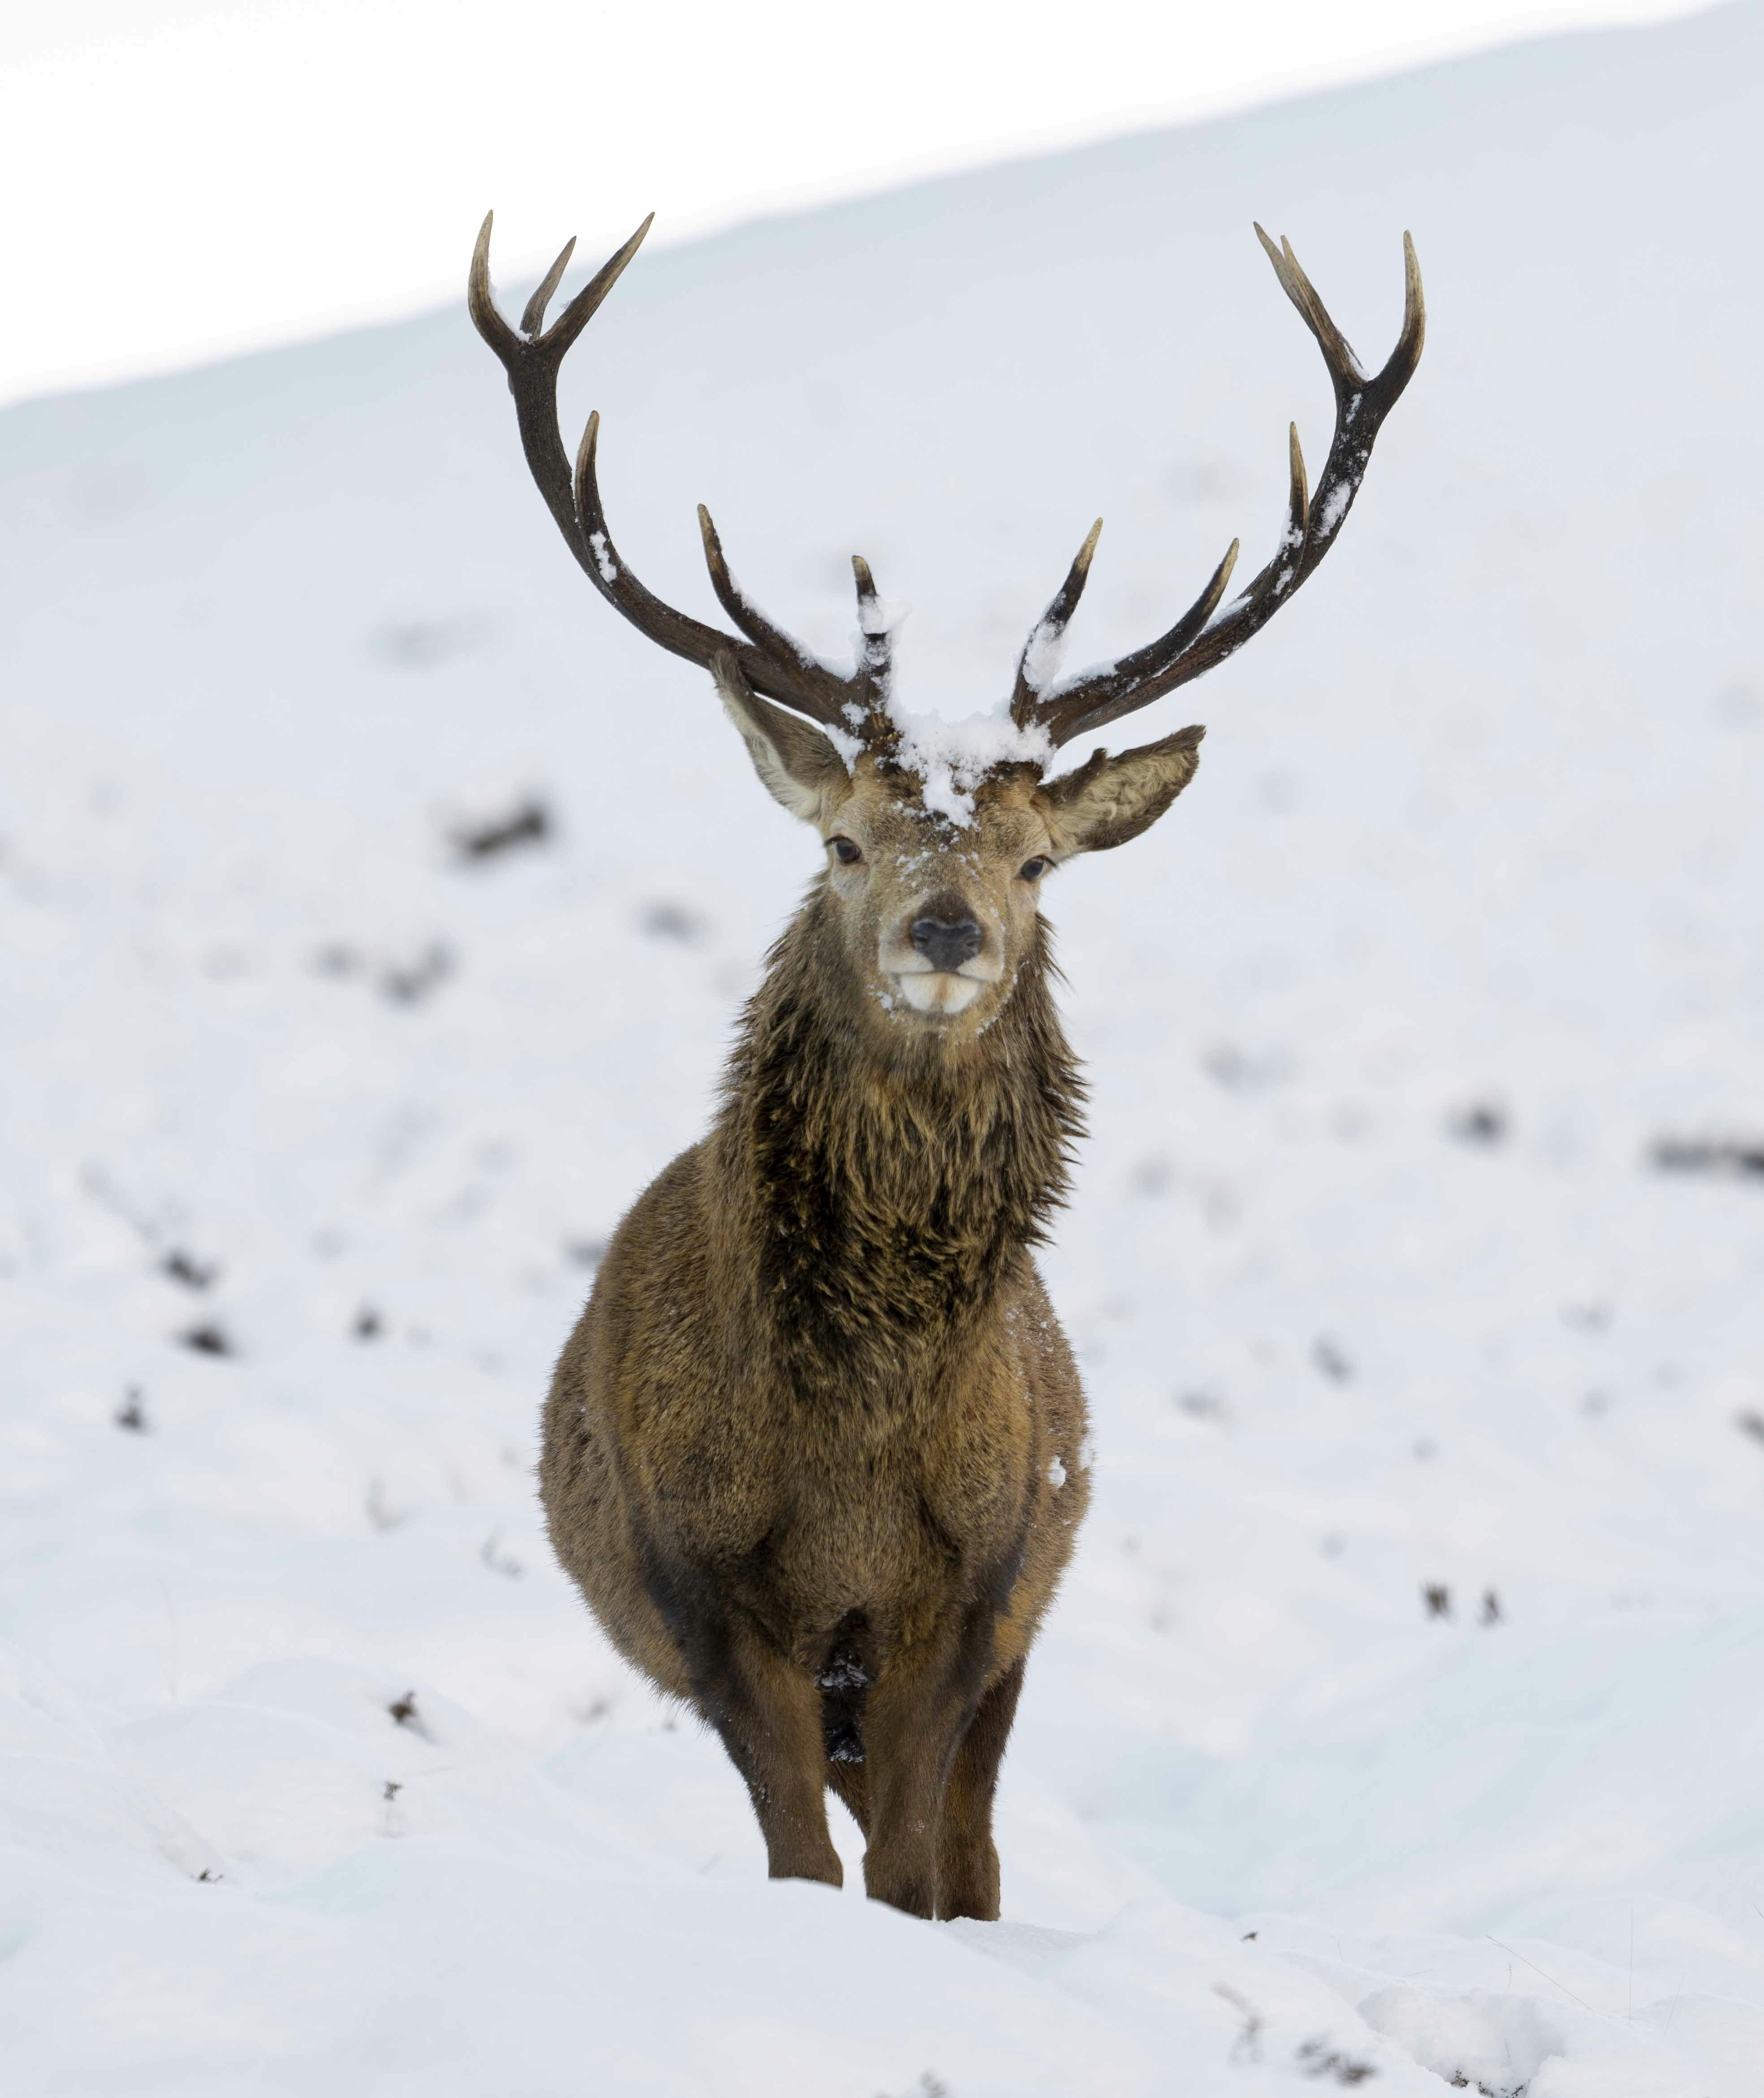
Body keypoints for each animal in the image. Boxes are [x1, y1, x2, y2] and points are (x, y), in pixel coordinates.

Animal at [468, 209, 1422, 1920]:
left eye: (1037, 862)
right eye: (843, 842)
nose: (945, 930)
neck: (851, 1444)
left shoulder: (970, 1591)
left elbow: (917, 1864)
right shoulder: (708, 1592)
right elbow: (800, 1857)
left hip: (1022, 1618)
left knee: (974, 1845)